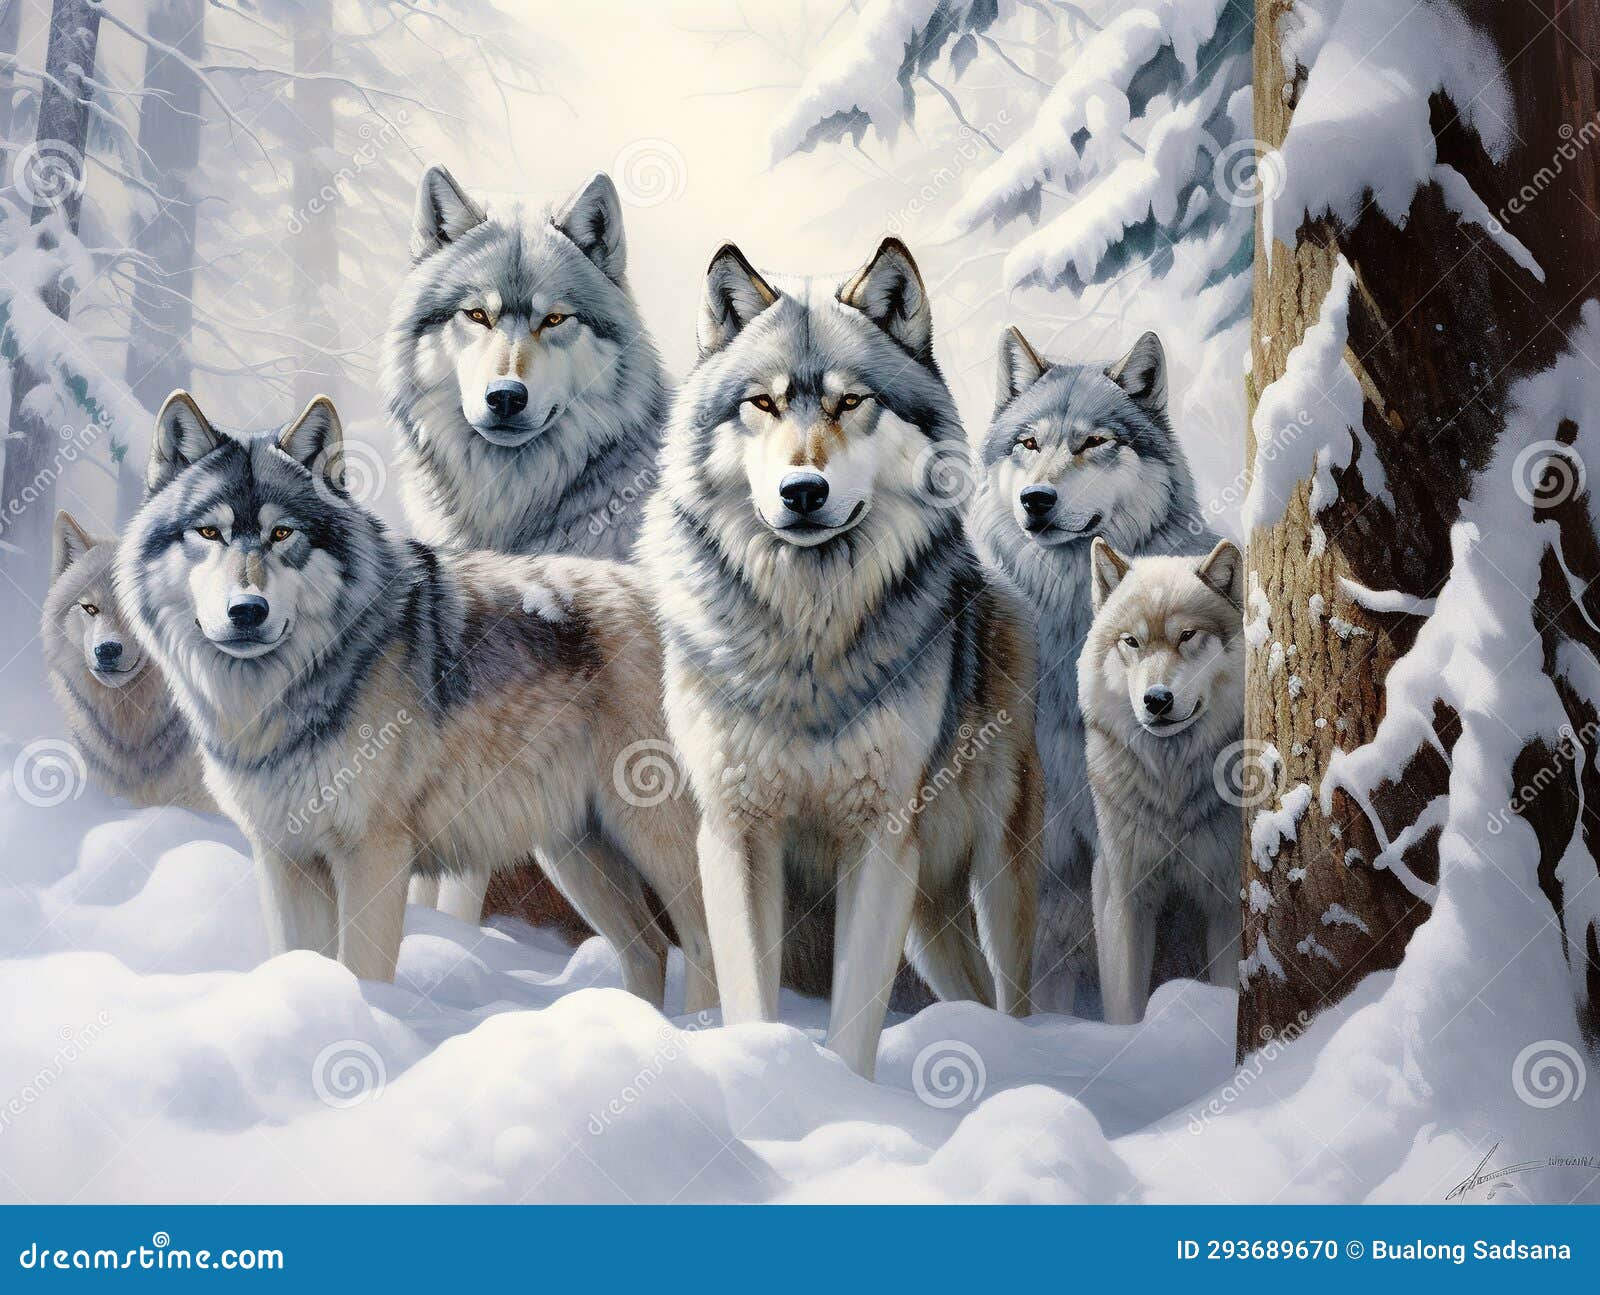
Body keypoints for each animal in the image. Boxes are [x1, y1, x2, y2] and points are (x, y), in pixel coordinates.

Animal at [119, 391, 716, 1011]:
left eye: (282, 534)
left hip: (655, 840)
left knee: (707, 948)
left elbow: (363, 970)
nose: (247, 611)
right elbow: (299, 959)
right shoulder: (285, 858)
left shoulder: (373, 855)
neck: (279, 697)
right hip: (576, 853)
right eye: (208, 533)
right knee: (648, 949)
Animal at [642, 238, 1041, 1078]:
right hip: (929, 912)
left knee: (1014, 994)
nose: (803, 489)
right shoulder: (735, 832)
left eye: (852, 402)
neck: (808, 639)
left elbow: (856, 1016)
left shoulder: (881, 838)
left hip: (993, 874)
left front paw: (847, 1095)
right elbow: (750, 995)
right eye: (762, 404)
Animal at [1079, 539, 1244, 1024]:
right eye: (1131, 641)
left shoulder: (1227, 902)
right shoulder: (1125, 897)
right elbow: (1126, 1005)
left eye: (1186, 636)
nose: (1157, 700)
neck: (1173, 792)